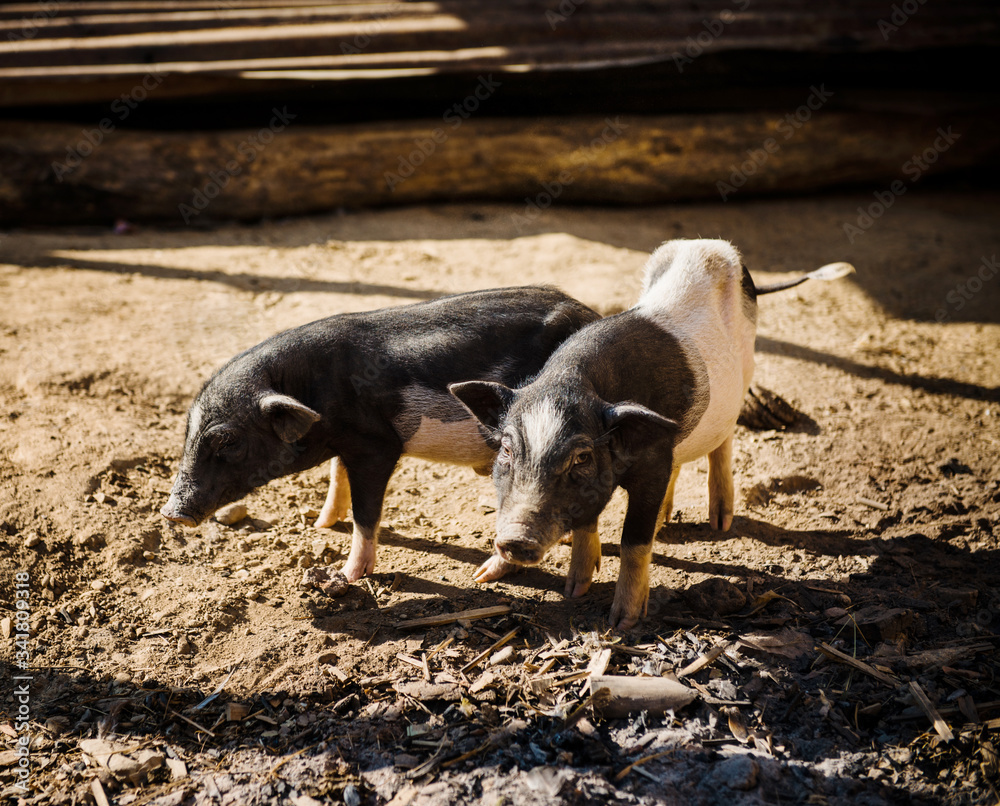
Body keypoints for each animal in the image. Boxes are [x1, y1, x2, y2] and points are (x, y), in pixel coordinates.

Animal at [160, 286, 600, 581]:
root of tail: (589, 313)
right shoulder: (348, 445)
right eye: (188, 433)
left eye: (228, 441)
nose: (171, 512)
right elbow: (337, 475)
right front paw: (321, 525)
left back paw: (482, 575)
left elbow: (366, 512)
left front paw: (348, 576)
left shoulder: (377, 446)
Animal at [451, 240, 854, 629]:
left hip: (743, 375)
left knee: (724, 439)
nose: (515, 538)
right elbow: (587, 520)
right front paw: (566, 588)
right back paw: (667, 517)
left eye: (582, 456)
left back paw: (720, 521)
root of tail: (712, 244)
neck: (574, 380)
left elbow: (634, 540)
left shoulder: (653, 463)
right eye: (506, 449)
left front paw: (622, 621)